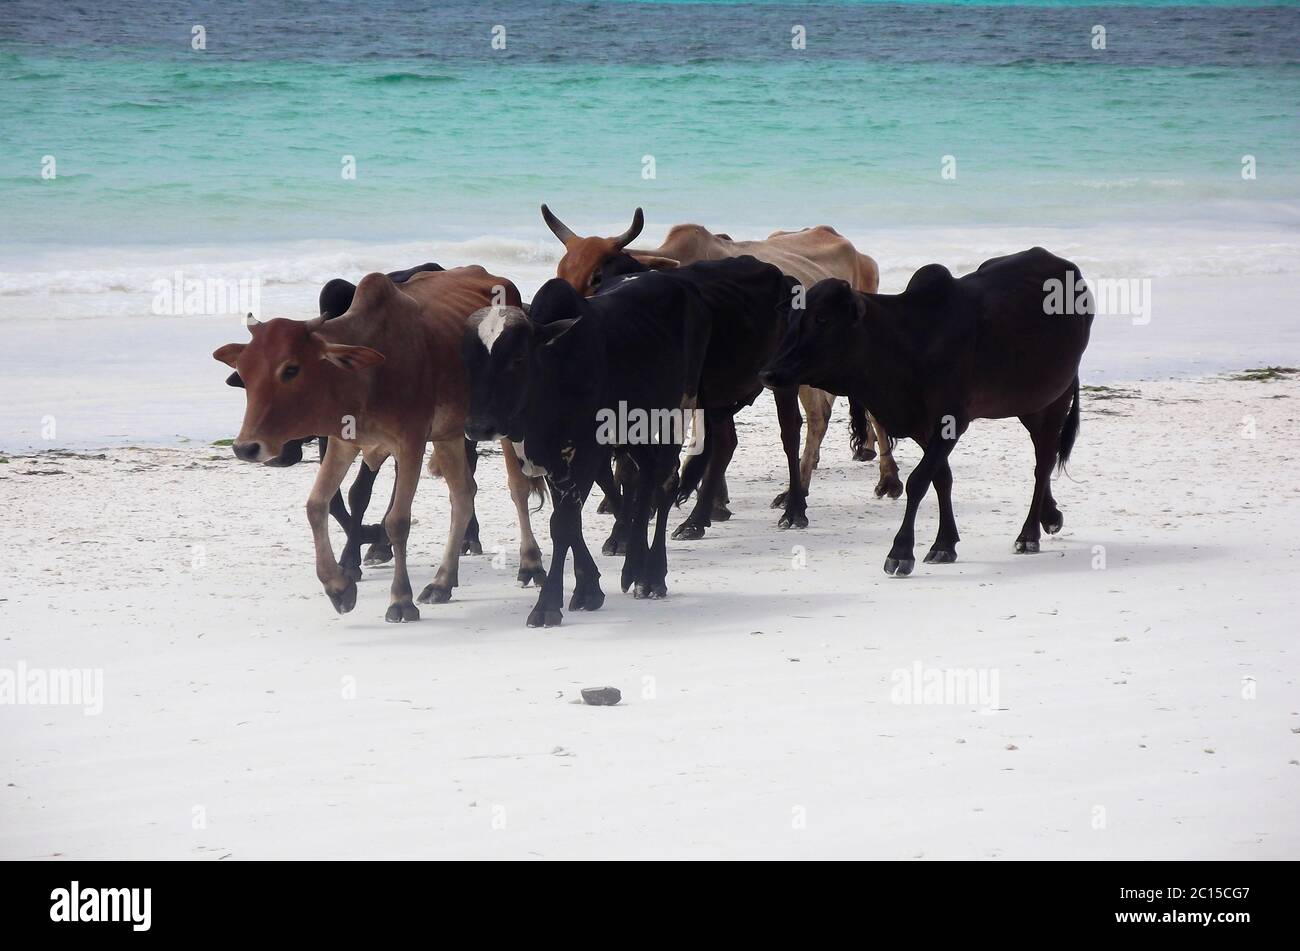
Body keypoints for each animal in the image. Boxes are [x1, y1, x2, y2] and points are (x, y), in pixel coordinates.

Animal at [213, 266, 546, 622]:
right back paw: (443, 582)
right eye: (244, 373)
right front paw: (339, 587)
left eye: (291, 369)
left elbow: (397, 521)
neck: (366, 375)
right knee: (463, 495)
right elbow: (317, 505)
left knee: (517, 489)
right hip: (450, 434)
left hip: (505, 425)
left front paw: (400, 599)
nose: (246, 447)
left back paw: (530, 564)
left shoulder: (410, 442)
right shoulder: (342, 443)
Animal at [462, 274, 711, 628]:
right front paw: (588, 589)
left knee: (665, 482)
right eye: (468, 361)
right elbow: (569, 521)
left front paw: (548, 605)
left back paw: (652, 577)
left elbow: (562, 523)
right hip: (635, 430)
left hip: (678, 410)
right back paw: (633, 567)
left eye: (518, 358)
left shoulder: (588, 453)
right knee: (646, 477)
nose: (479, 426)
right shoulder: (552, 461)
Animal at [541, 205, 903, 504]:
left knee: (843, 414)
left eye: (597, 276)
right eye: (561, 272)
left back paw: (879, 481)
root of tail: (860, 255)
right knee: (822, 416)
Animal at [759, 248, 1092, 576]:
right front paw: (945, 544)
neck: (909, 340)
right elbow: (941, 478)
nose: (768, 373)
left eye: (822, 319)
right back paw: (1050, 516)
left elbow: (918, 480)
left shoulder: (952, 421)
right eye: (791, 319)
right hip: (1033, 406)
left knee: (1044, 462)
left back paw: (1029, 534)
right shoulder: (921, 426)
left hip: (1053, 401)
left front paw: (901, 552)